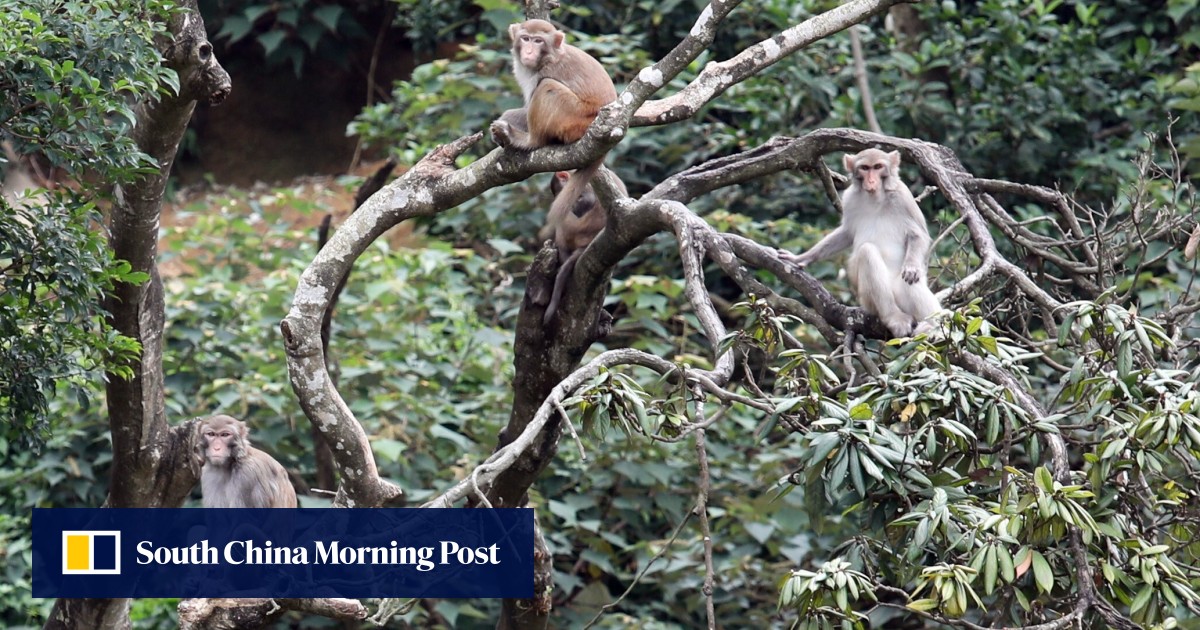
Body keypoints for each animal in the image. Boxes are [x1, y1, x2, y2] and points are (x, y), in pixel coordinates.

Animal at [490, 19, 617, 249]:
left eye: (538, 41)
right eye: (526, 38)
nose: (529, 51)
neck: (548, 57)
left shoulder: (546, 71)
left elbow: (534, 100)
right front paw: (504, 120)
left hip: (574, 117)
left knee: (547, 86)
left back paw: (528, 141)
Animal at [540, 170, 627, 325]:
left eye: (559, 192)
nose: (558, 198)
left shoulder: (586, 185)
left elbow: (588, 200)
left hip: (575, 229)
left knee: (562, 223)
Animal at [783, 148, 941, 338]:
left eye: (878, 167)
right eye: (865, 168)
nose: (871, 181)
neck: (875, 198)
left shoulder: (903, 196)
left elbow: (918, 235)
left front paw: (911, 267)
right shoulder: (849, 199)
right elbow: (846, 233)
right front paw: (801, 258)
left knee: (911, 283)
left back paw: (935, 326)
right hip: (868, 300)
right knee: (867, 252)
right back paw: (894, 317)